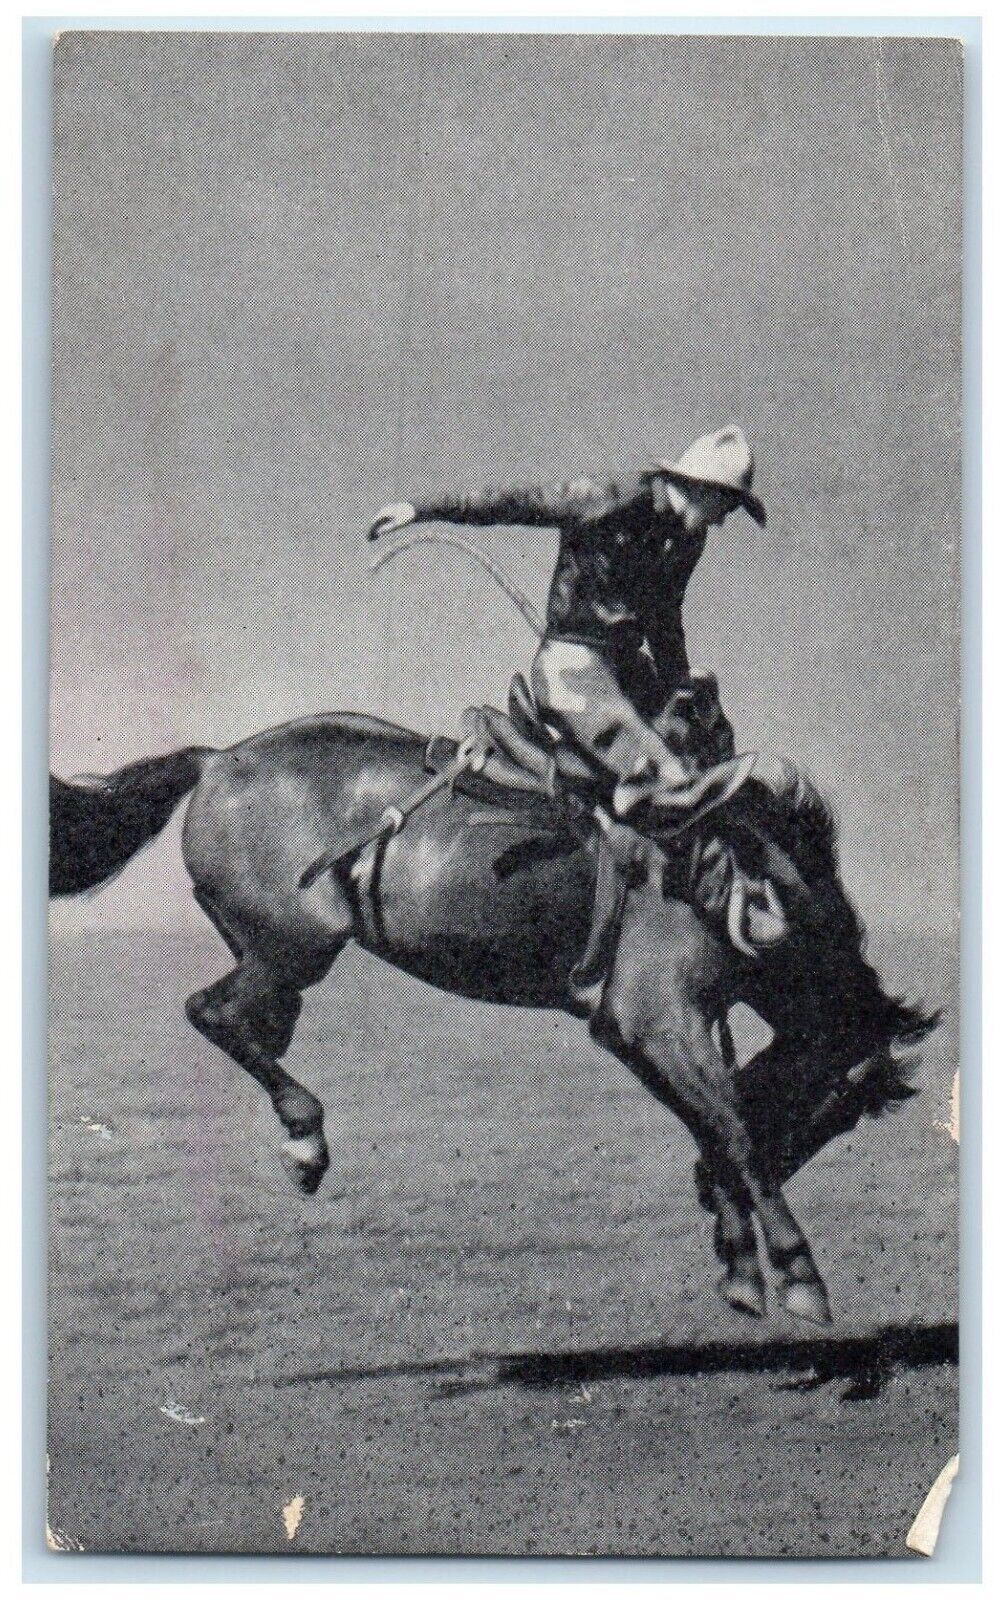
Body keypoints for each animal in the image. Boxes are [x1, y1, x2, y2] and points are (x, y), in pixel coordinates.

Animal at [50, 710, 937, 1327]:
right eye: (838, 1106)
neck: (744, 877)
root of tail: (219, 759)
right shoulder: (659, 1019)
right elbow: (737, 1133)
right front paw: (796, 1275)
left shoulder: (635, 1034)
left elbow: (712, 1126)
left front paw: (740, 1266)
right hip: (295, 947)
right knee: (212, 1012)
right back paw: (305, 1139)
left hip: (279, 964)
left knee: (245, 1023)